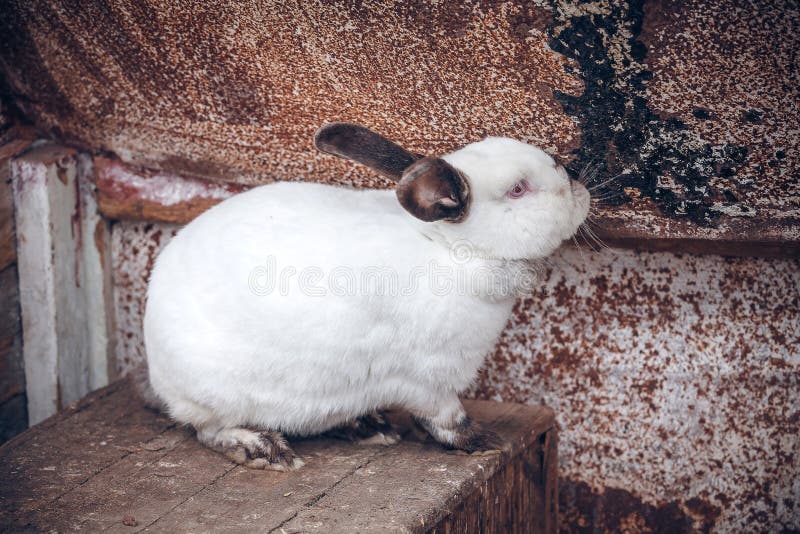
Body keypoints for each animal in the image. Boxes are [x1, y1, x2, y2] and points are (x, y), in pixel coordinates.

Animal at [143, 123, 590, 470]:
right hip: (216, 395)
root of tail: (155, 363)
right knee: (208, 430)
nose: (578, 184)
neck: (448, 248)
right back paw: (264, 449)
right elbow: (448, 421)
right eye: (518, 189)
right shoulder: (428, 379)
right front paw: (485, 441)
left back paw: (368, 426)